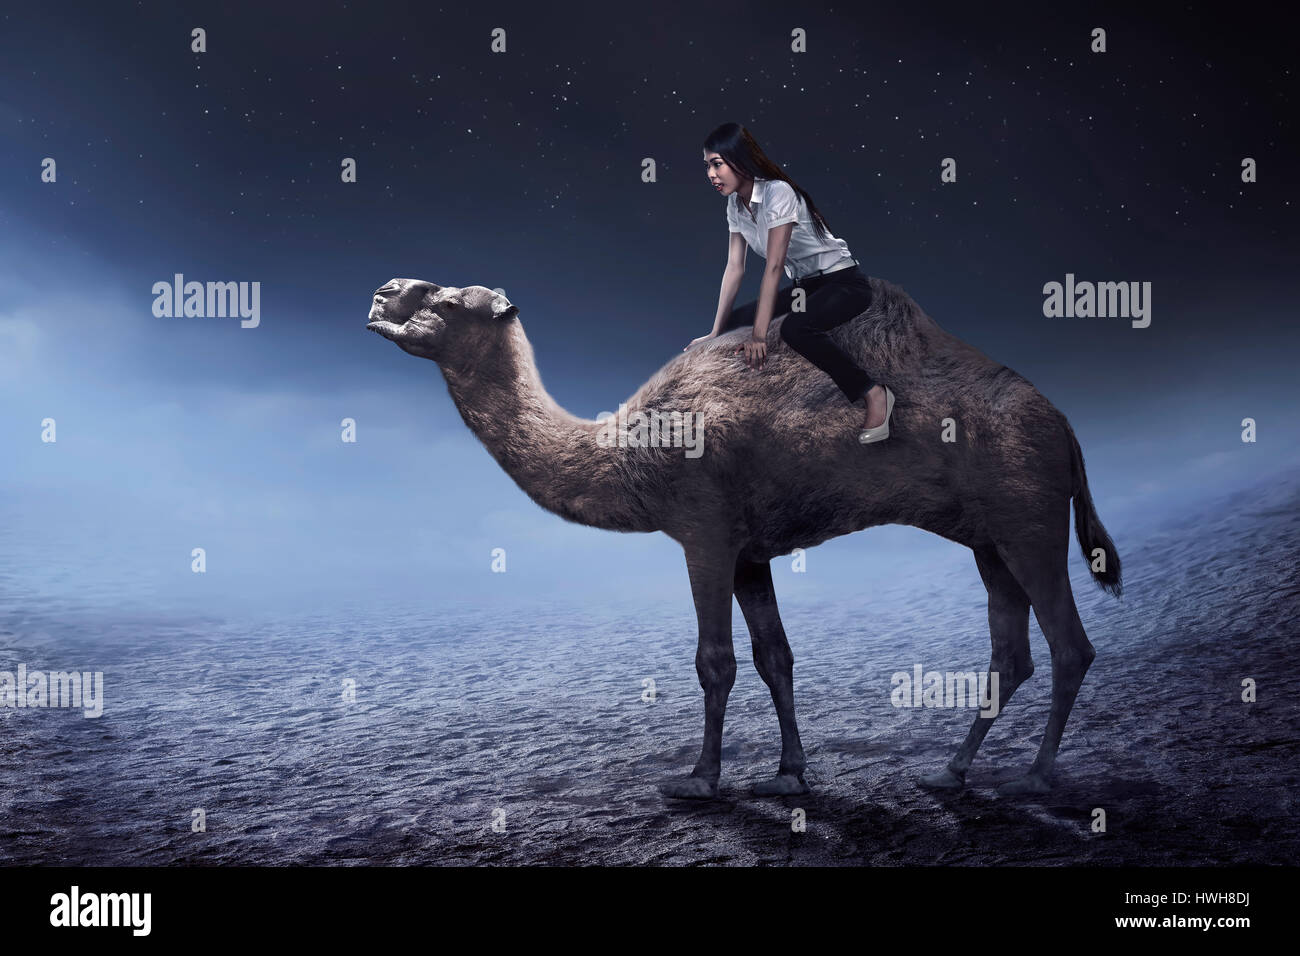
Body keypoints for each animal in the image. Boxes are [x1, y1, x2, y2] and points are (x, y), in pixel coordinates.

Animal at [365, 277, 1123, 800]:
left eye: (445, 300)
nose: (381, 294)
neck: (630, 448)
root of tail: (1067, 427)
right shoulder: (751, 551)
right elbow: (774, 658)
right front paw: (788, 774)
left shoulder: (705, 529)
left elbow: (716, 661)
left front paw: (699, 780)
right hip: (987, 537)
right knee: (1012, 653)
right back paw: (950, 773)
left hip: (1027, 513)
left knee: (1071, 646)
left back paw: (1035, 777)